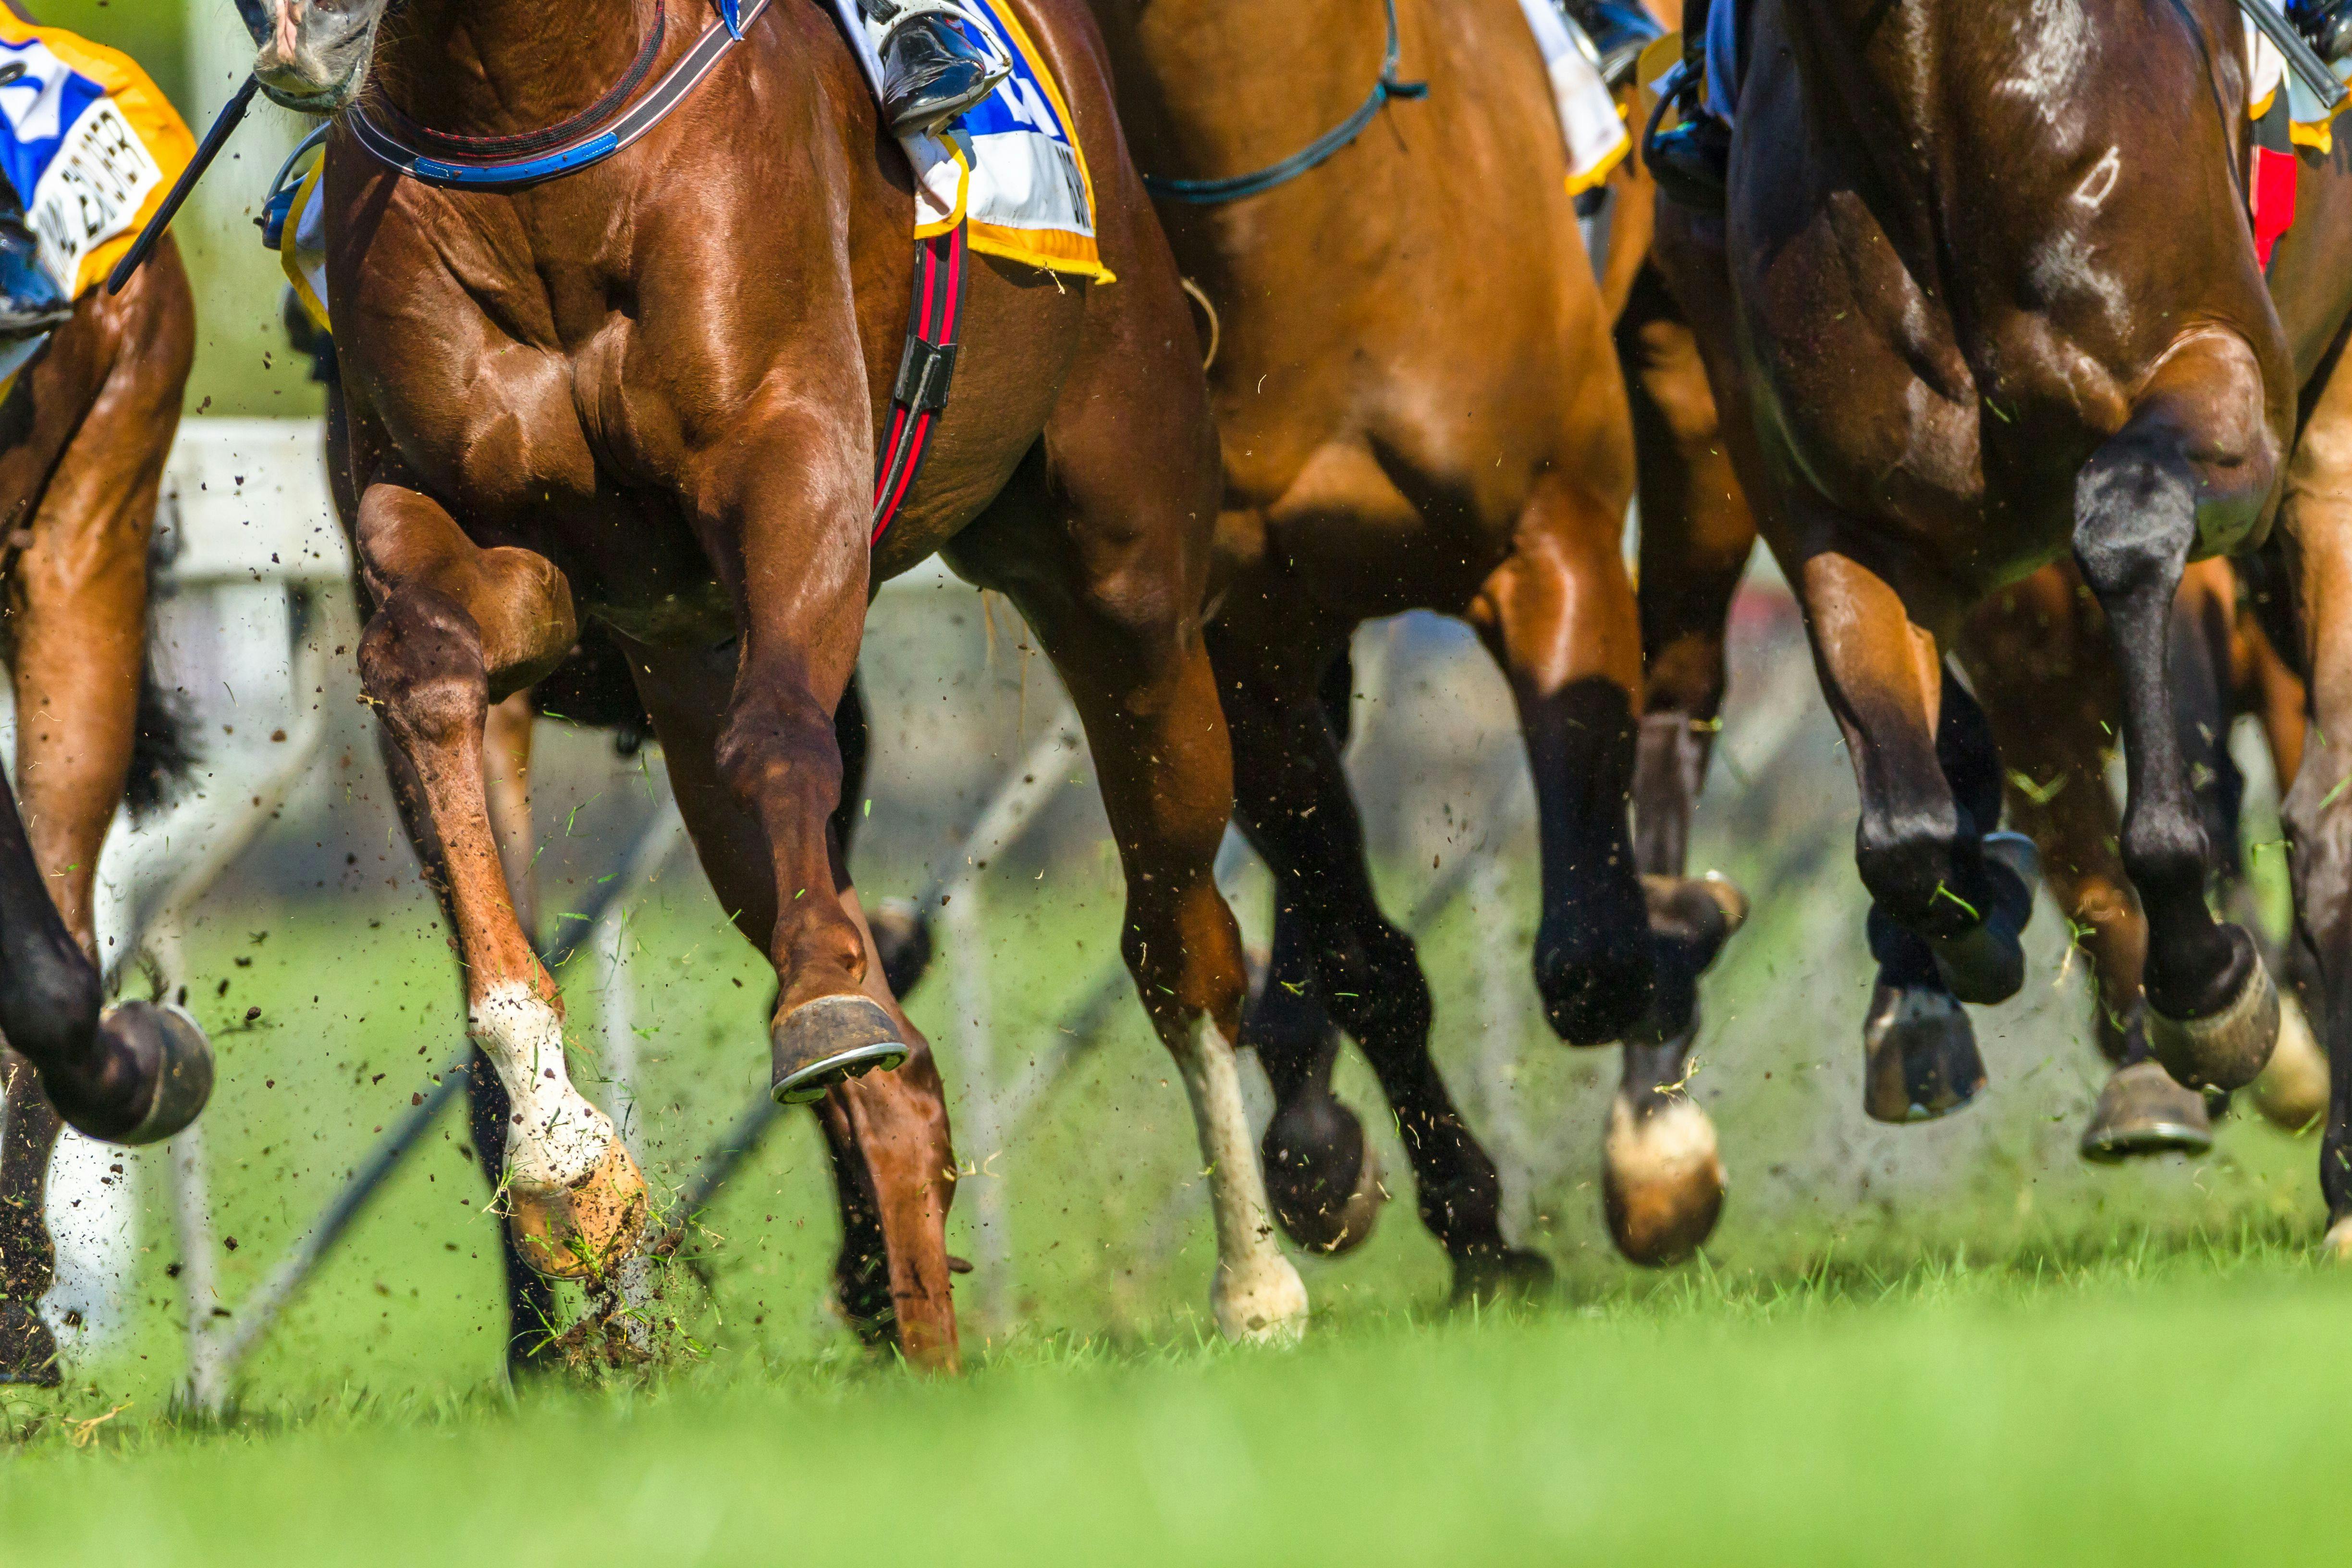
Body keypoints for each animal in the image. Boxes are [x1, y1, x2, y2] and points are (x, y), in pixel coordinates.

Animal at [247, 0, 1309, 1358]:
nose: (306, 33)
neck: (526, 120)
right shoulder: (486, 538)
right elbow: (428, 673)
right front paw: (559, 1144)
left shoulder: (795, 460)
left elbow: (784, 735)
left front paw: (821, 1005)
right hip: (689, 685)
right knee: (907, 1086)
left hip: (1125, 564)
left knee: (1179, 935)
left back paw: (1255, 1279)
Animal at [1087, 0, 1745, 1287]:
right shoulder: (1237, 631)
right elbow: (1366, 956)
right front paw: (1468, 1221)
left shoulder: (1552, 538)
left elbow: (1591, 957)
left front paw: (1675, 943)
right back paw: (1306, 1100)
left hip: (1695, 383)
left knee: (1681, 686)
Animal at [1653, 0, 2352, 1244]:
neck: (1936, 99)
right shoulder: (1836, 514)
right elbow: (1902, 828)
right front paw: (1971, 919)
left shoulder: (2223, 382)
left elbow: (2128, 526)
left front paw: (2207, 984)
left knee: (2328, 817)